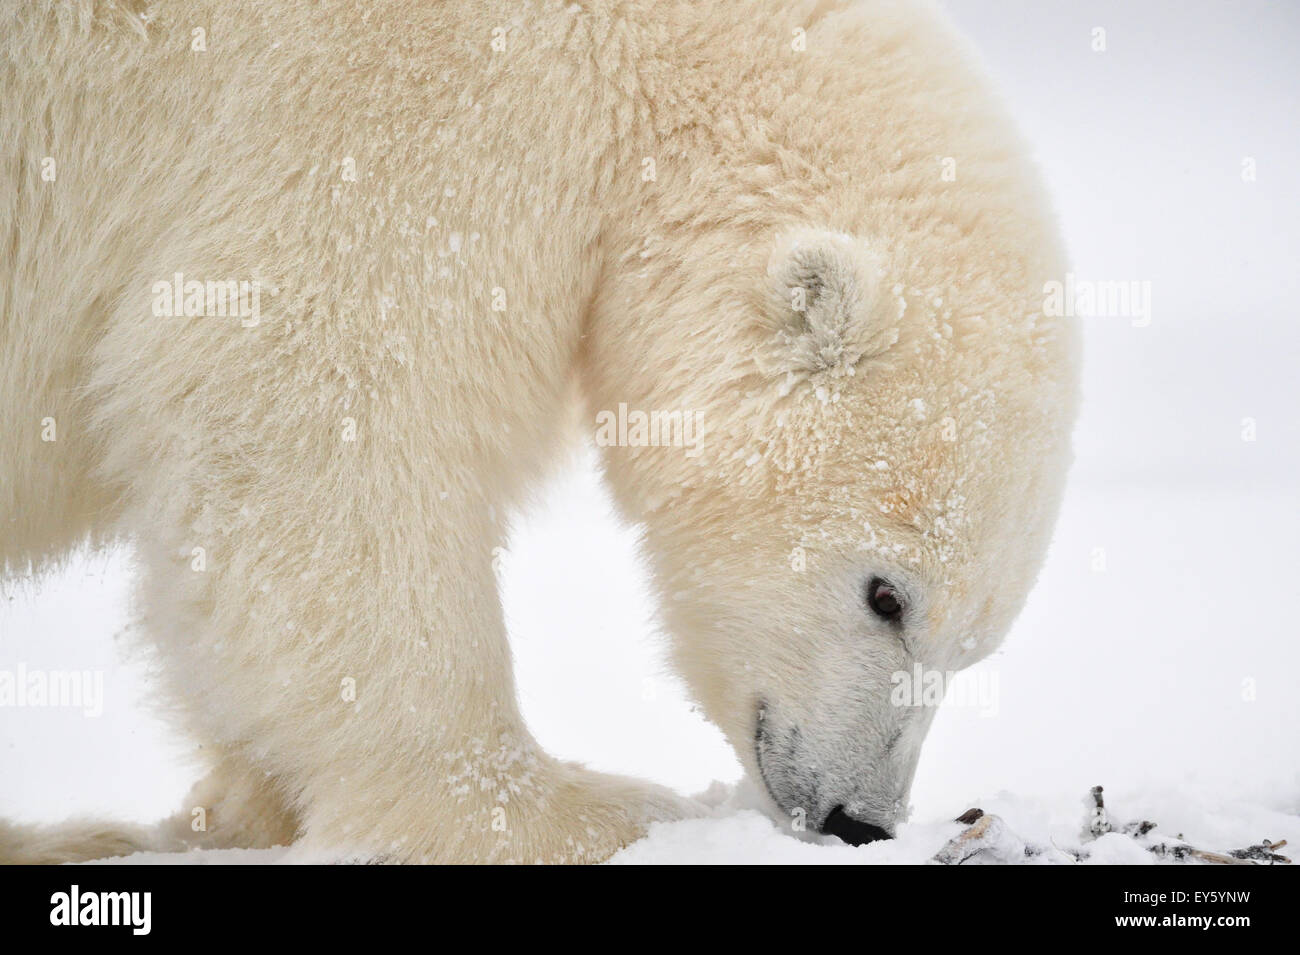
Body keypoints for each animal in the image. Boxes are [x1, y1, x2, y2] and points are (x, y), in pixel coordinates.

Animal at [0, 0, 1078, 863]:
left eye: (974, 648)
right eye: (885, 596)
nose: (862, 818)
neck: (652, 49)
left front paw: (244, 802)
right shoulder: (412, 110)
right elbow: (305, 399)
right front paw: (569, 810)